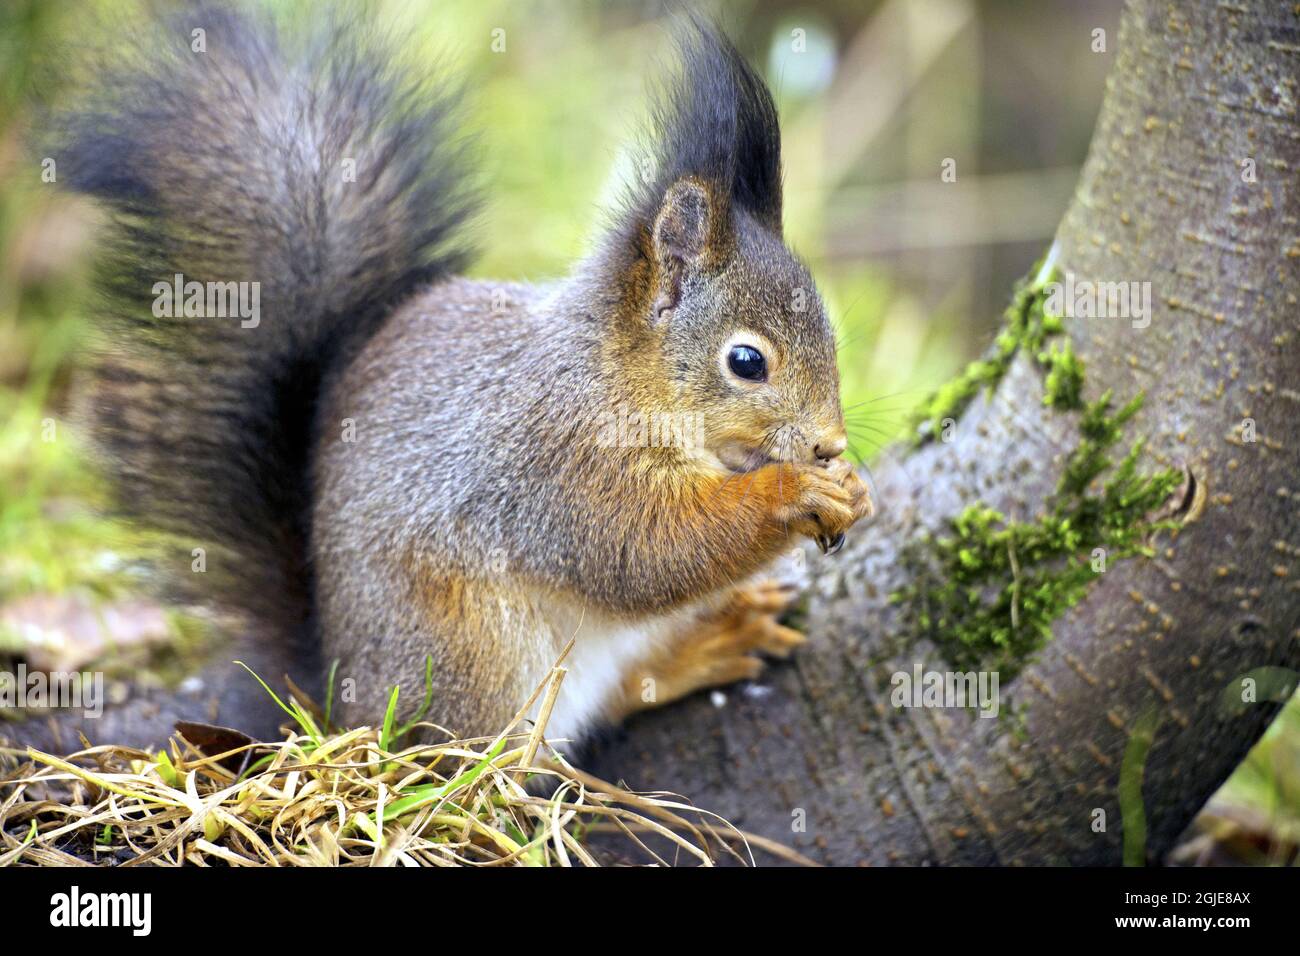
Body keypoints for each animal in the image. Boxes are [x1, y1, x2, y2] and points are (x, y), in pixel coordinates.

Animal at [32, 6, 873, 748]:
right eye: (746, 362)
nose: (830, 442)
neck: (611, 375)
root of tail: (333, 690)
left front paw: (851, 487)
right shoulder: (555, 465)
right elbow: (641, 551)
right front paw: (794, 492)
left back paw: (712, 643)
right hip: (474, 653)